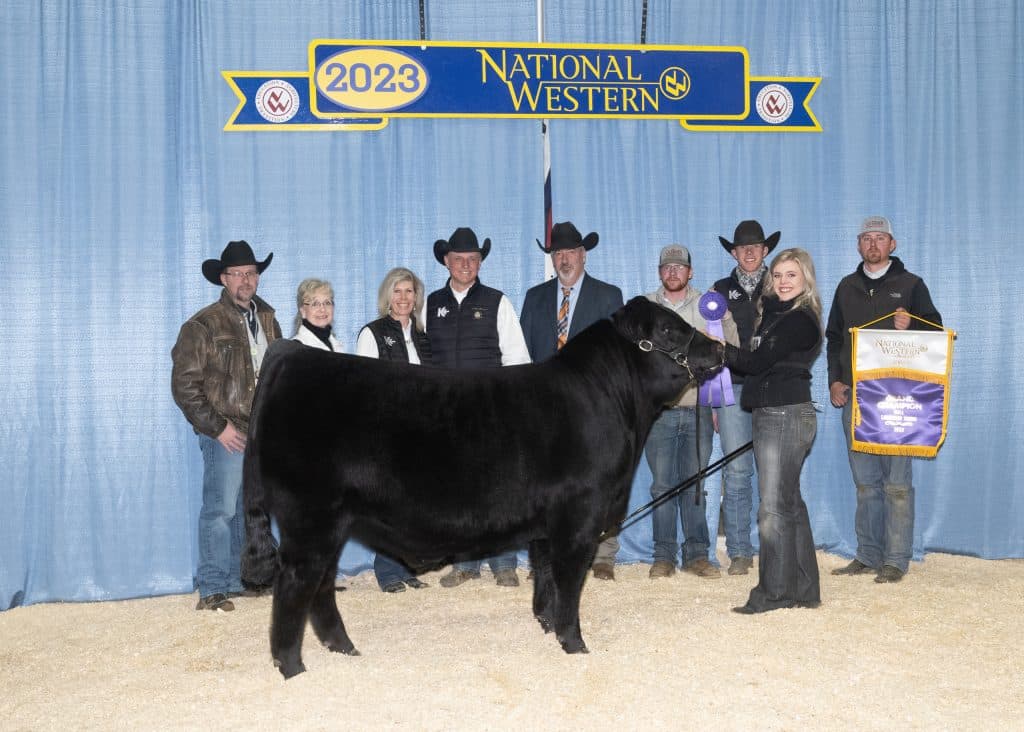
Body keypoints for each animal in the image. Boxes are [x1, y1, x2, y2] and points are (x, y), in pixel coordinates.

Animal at [242, 296, 723, 678]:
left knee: (321, 585)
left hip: (330, 522)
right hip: (310, 518)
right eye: (667, 329)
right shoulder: (579, 517)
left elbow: (545, 576)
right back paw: (292, 667)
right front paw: (574, 643)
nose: (719, 347)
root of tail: (293, 354)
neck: (610, 402)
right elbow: (569, 582)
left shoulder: (548, 521)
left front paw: (546, 625)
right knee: (295, 585)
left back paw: (343, 648)